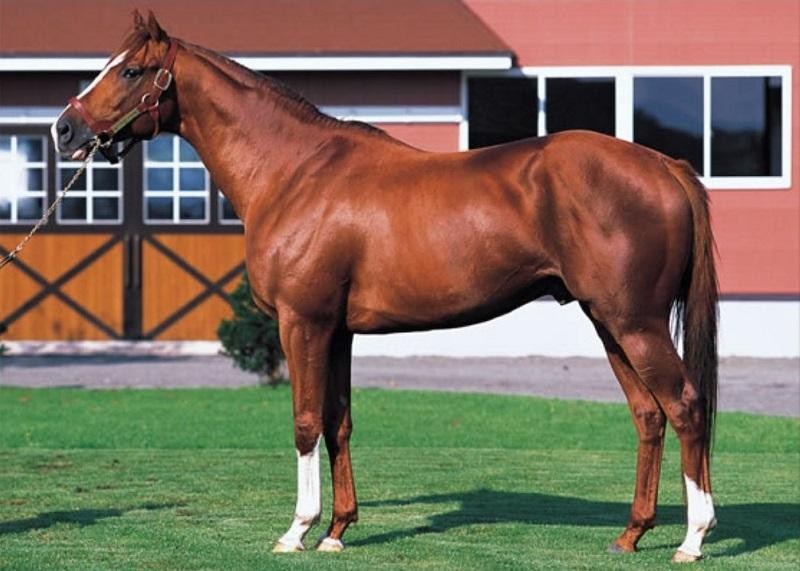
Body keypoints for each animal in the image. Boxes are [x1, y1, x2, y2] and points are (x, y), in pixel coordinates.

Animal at [52, 11, 718, 563]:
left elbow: (303, 420)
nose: (64, 131)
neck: (294, 171)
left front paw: (297, 530)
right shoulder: (338, 331)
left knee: (685, 405)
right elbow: (337, 422)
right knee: (649, 415)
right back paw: (632, 534)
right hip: (608, 322)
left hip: (634, 322)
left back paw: (692, 538)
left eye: (130, 69)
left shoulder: (303, 323)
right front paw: (337, 531)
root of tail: (664, 166)